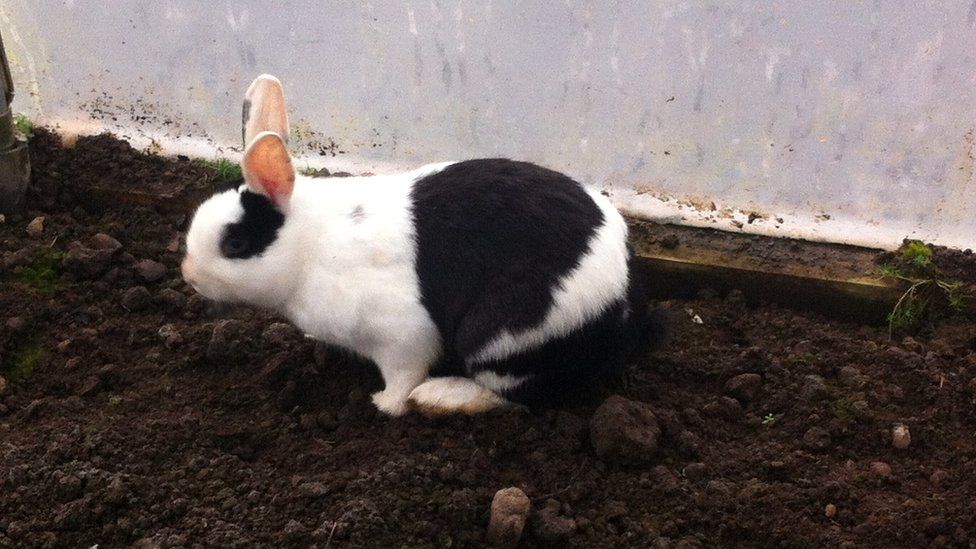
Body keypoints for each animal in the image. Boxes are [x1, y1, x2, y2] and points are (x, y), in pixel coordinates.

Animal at [181, 74, 668, 417]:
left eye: (235, 243)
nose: (188, 276)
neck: (308, 247)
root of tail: (628, 309)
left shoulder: (400, 337)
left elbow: (403, 375)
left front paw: (386, 404)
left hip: (499, 339)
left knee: (519, 396)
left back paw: (438, 398)